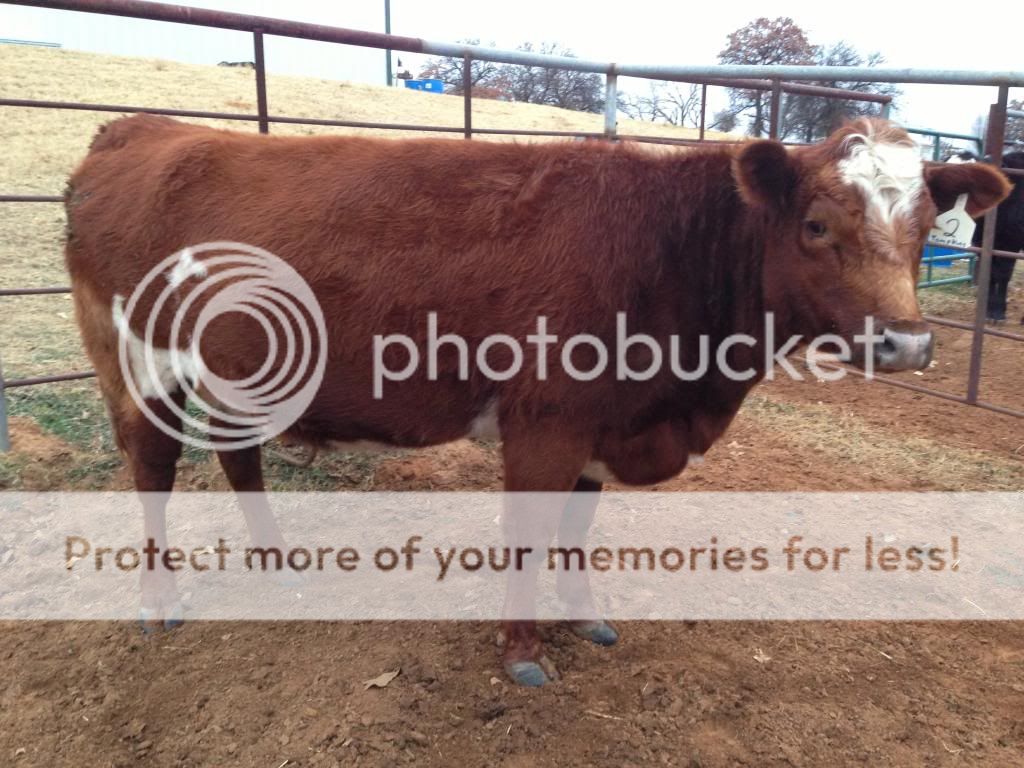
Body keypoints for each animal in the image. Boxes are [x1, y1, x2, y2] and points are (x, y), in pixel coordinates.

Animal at [64, 114, 1009, 686]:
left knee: (239, 453)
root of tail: (142, 130)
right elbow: (528, 532)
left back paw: (275, 558)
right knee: (153, 469)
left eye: (925, 230)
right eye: (816, 226)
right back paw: (159, 603)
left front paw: (582, 616)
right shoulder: (544, 424)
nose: (907, 342)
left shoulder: (600, 423)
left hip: (238, 370)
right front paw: (521, 652)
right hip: (139, 365)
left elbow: (576, 532)